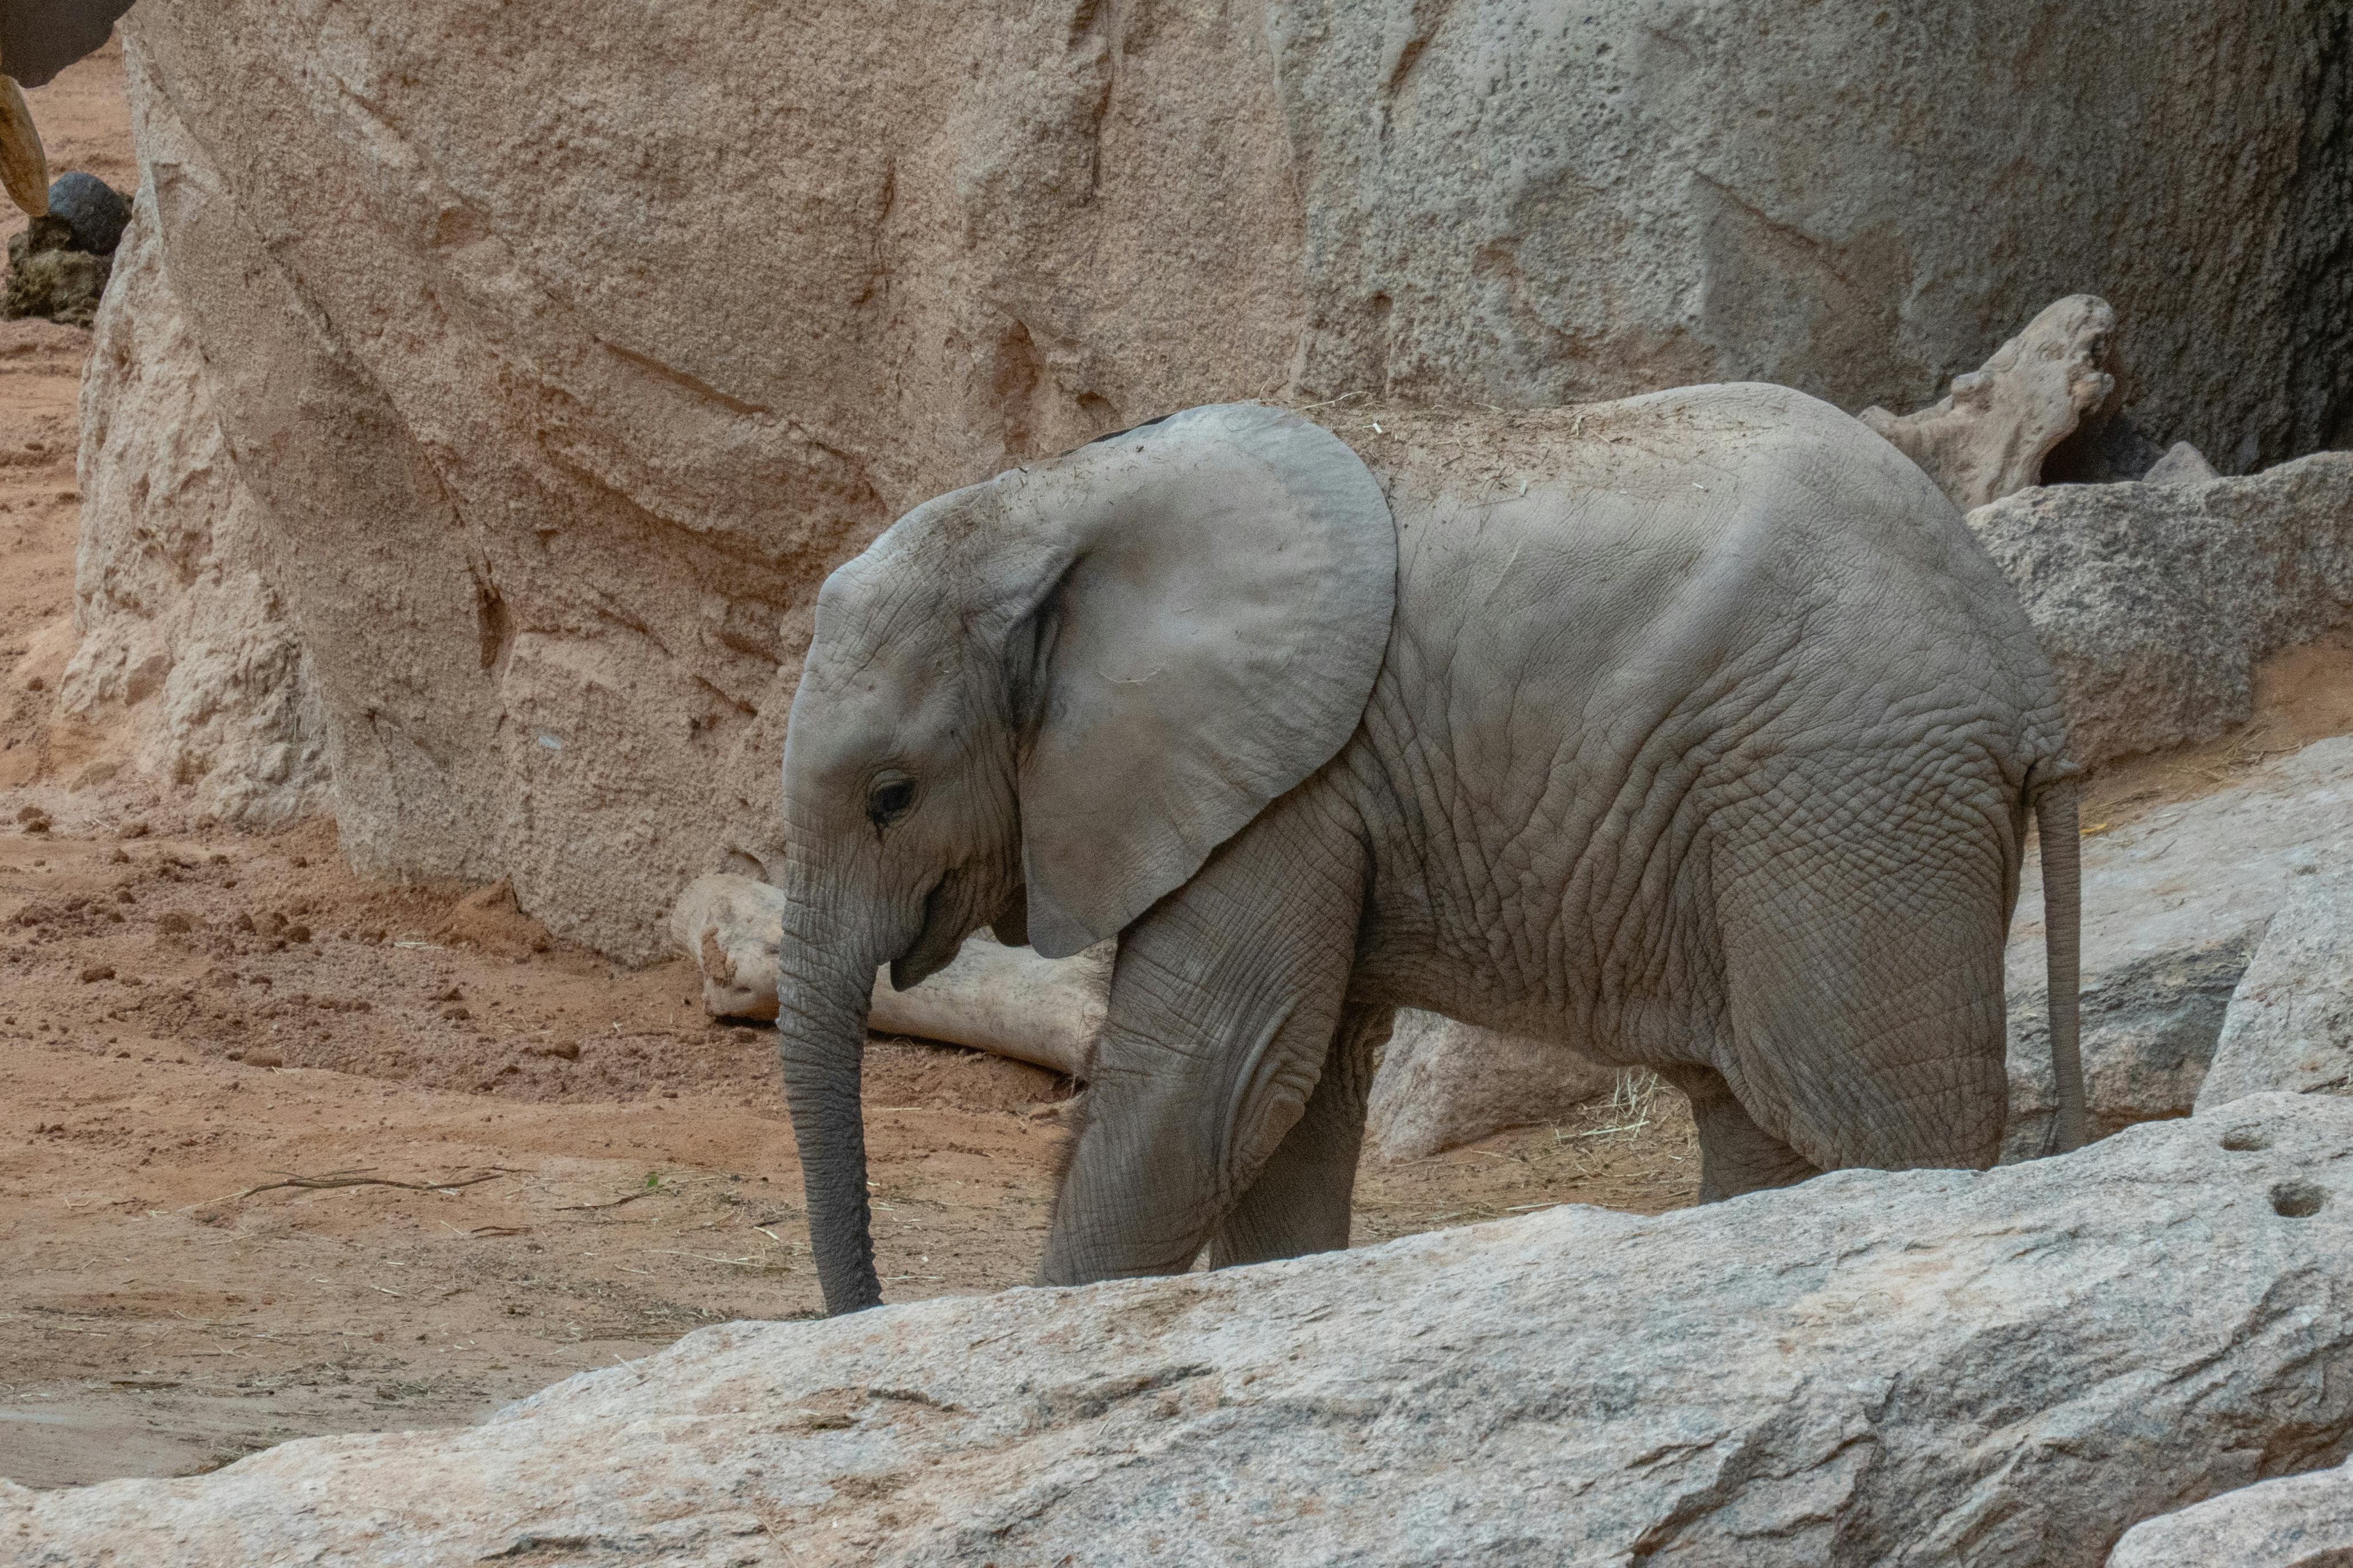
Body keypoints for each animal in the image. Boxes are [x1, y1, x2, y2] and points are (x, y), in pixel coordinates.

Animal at [774, 385, 2087, 1315]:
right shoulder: (1304, 777)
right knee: (1758, 1116)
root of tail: (2030, 674)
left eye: (890, 796)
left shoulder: (1285, 775)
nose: (872, 1309)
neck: (1052, 495)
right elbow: (1288, 1105)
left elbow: (1212, 1077)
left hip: (1846, 793)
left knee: (1870, 1116)